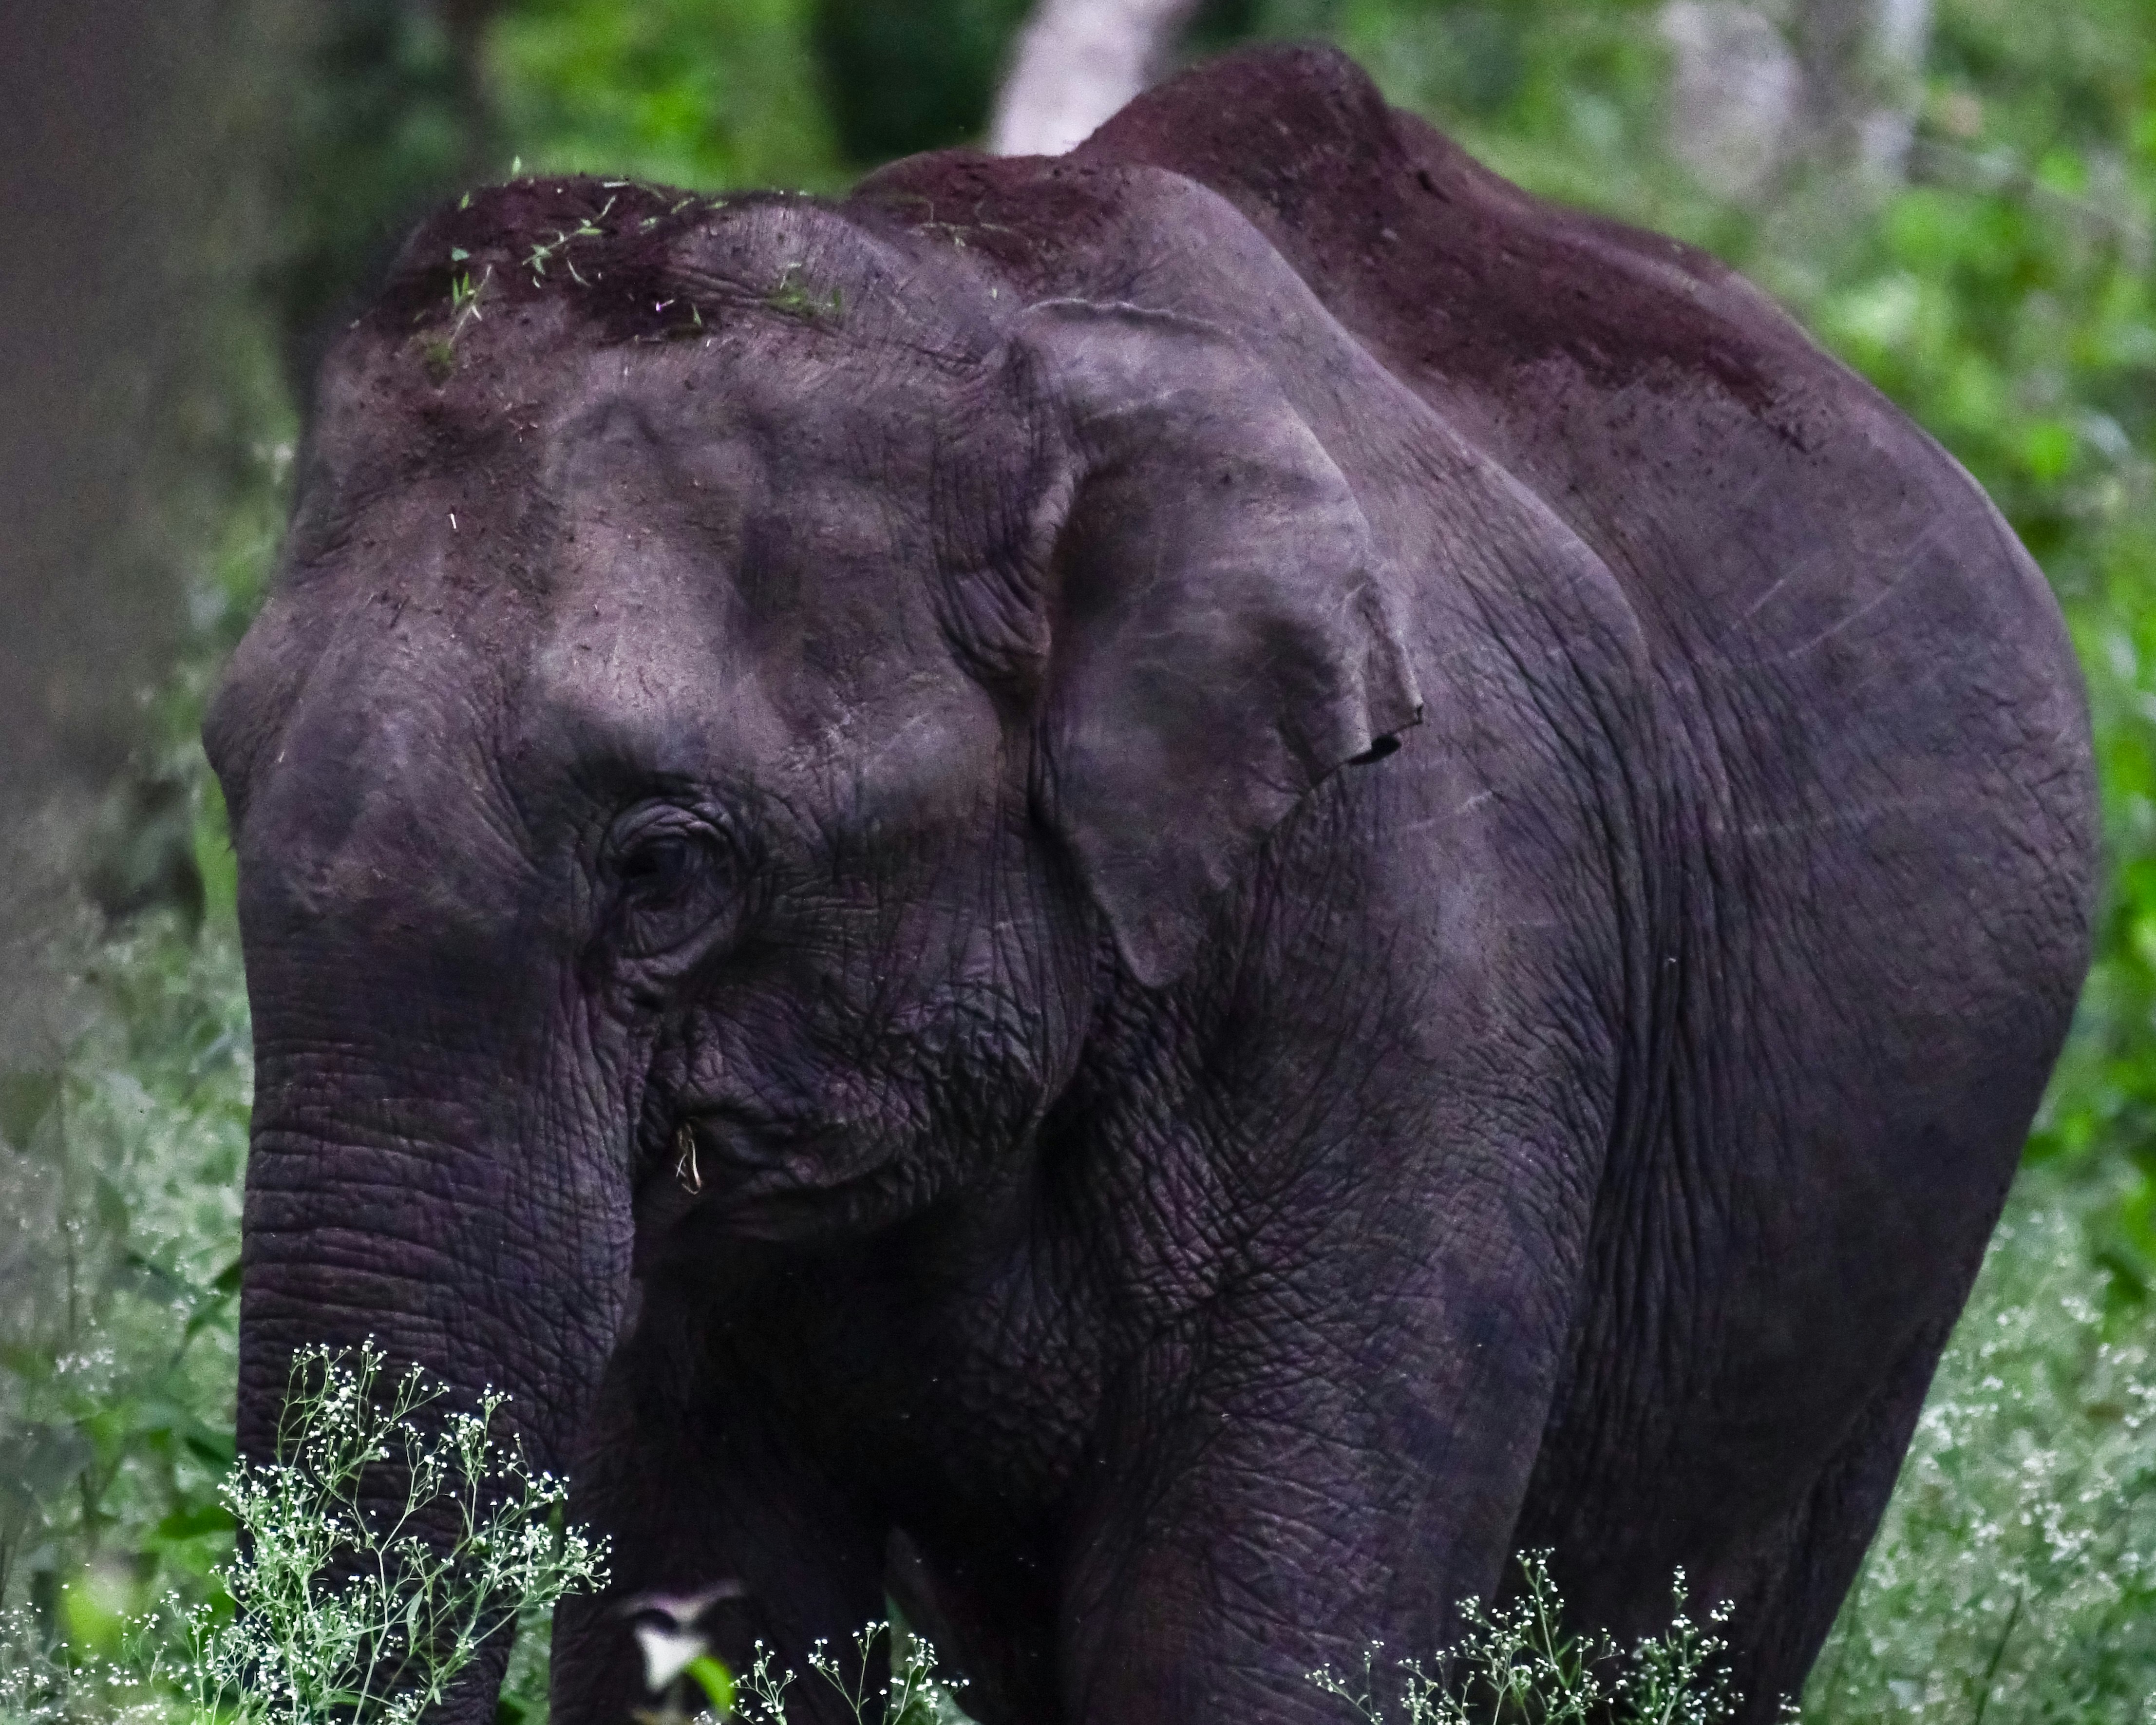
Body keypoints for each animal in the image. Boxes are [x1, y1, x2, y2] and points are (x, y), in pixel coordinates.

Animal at [207, 41, 2096, 1725]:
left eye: (665, 866)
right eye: (226, 781)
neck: (992, 334)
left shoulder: (1428, 967)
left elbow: (1242, 1658)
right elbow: (708, 1607)